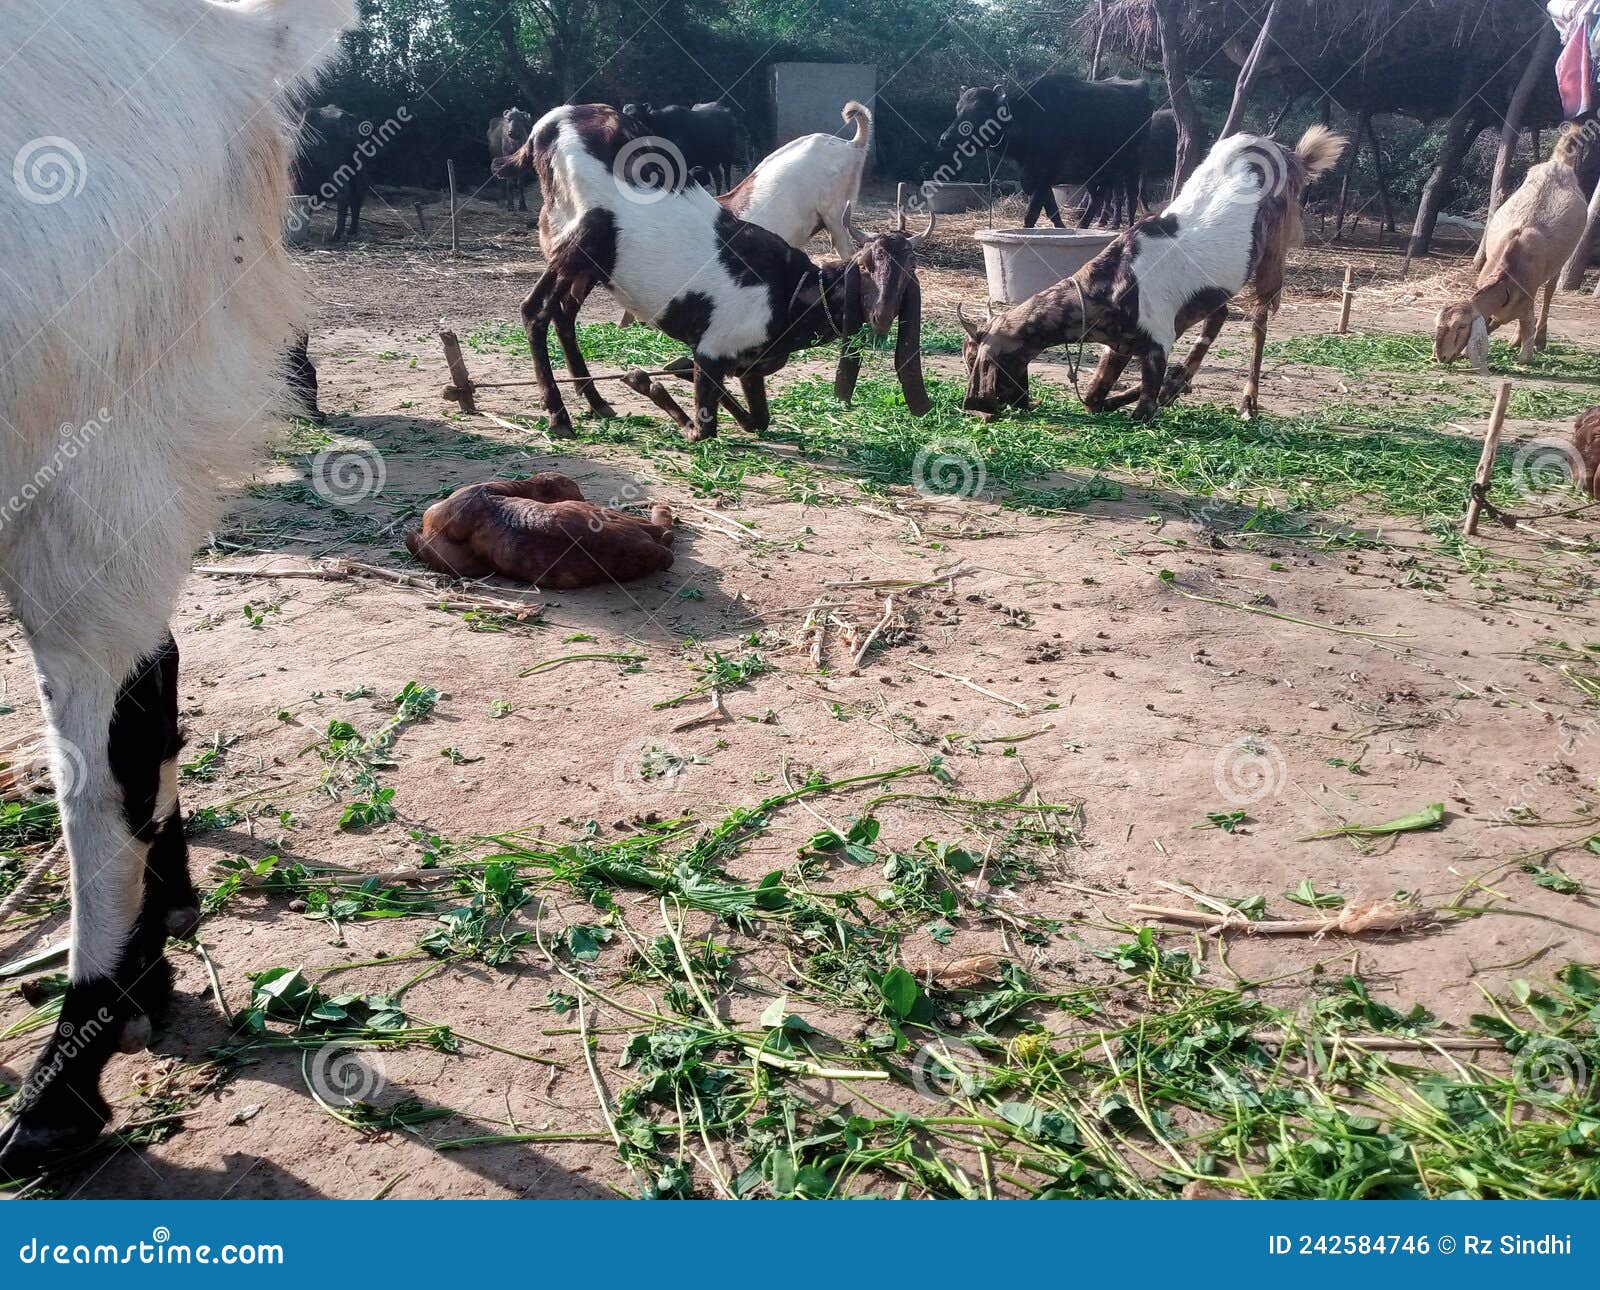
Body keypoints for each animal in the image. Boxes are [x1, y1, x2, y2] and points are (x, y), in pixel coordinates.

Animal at [496, 105, 932, 442]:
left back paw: (596, 403)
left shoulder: (747, 366)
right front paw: (646, 383)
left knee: (564, 315)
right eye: (868, 266)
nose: (881, 318)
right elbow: (703, 428)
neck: (791, 292)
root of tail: (552, 121)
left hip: (590, 264)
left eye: (909, 271)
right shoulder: (711, 351)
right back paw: (559, 415)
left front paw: (664, 375)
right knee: (535, 311)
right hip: (581, 240)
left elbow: (758, 420)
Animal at [959, 126, 1346, 422]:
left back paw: (1247, 403)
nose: (975, 408)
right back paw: (1182, 379)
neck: (1104, 288)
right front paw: (1170, 386)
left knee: (1259, 321)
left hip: (1272, 253)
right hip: (1208, 293)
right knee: (1217, 313)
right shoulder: (1120, 345)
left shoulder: (1157, 344)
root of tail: (1286, 153)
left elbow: (1141, 413)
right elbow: (1094, 399)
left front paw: (1163, 391)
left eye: (976, 360)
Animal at [1436, 123, 1590, 372]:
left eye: (1461, 327)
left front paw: (1524, 350)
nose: (1440, 356)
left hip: (1562, 260)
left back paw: (1539, 339)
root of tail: (1558, 163)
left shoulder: (1524, 301)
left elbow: (1520, 337)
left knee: (1549, 292)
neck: (1507, 276)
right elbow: (1494, 321)